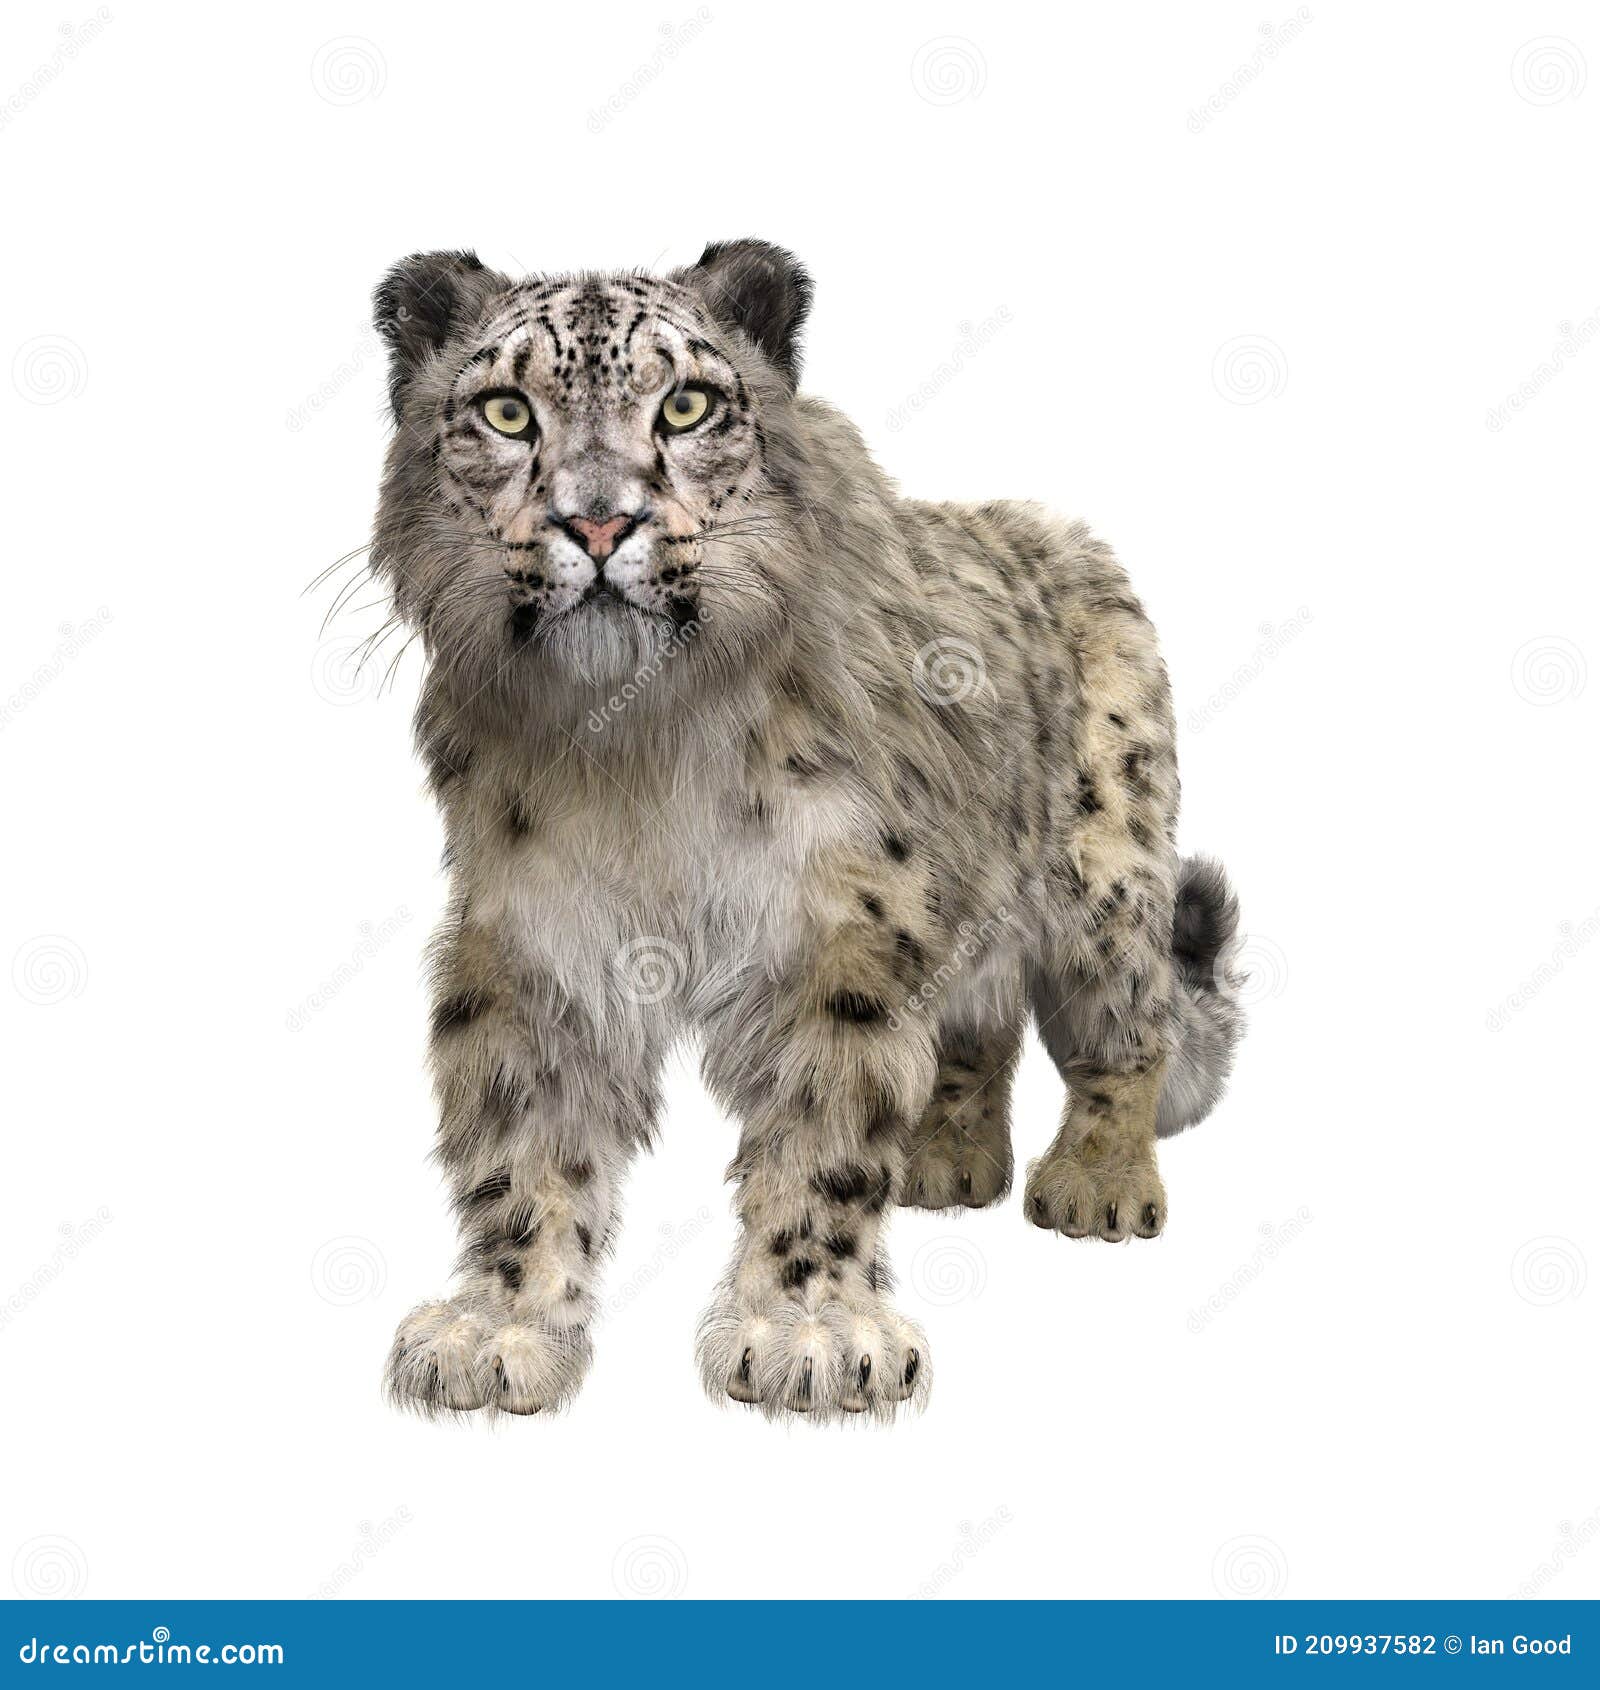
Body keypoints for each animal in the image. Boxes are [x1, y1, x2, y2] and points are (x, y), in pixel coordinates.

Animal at [360, 238, 1246, 1423]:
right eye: (507, 411)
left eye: (685, 405)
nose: (597, 522)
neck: (639, 747)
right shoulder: (538, 928)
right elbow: (521, 1141)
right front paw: (495, 1330)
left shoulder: (843, 922)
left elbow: (826, 1133)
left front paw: (814, 1336)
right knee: (976, 1020)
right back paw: (945, 1160)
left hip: (1108, 873)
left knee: (1125, 1025)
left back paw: (1095, 1184)